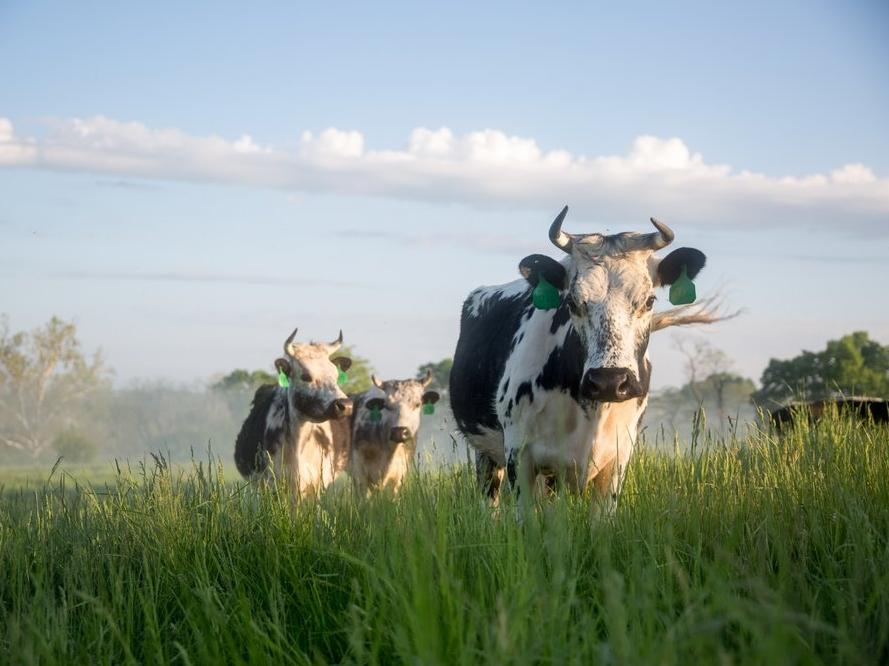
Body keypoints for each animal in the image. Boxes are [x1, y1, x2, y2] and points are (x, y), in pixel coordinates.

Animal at [449, 206, 718, 508]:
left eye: (649, 301)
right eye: (572, 302)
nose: (609, 381)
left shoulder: (617, 462)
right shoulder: (519, 457)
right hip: (486, 455)